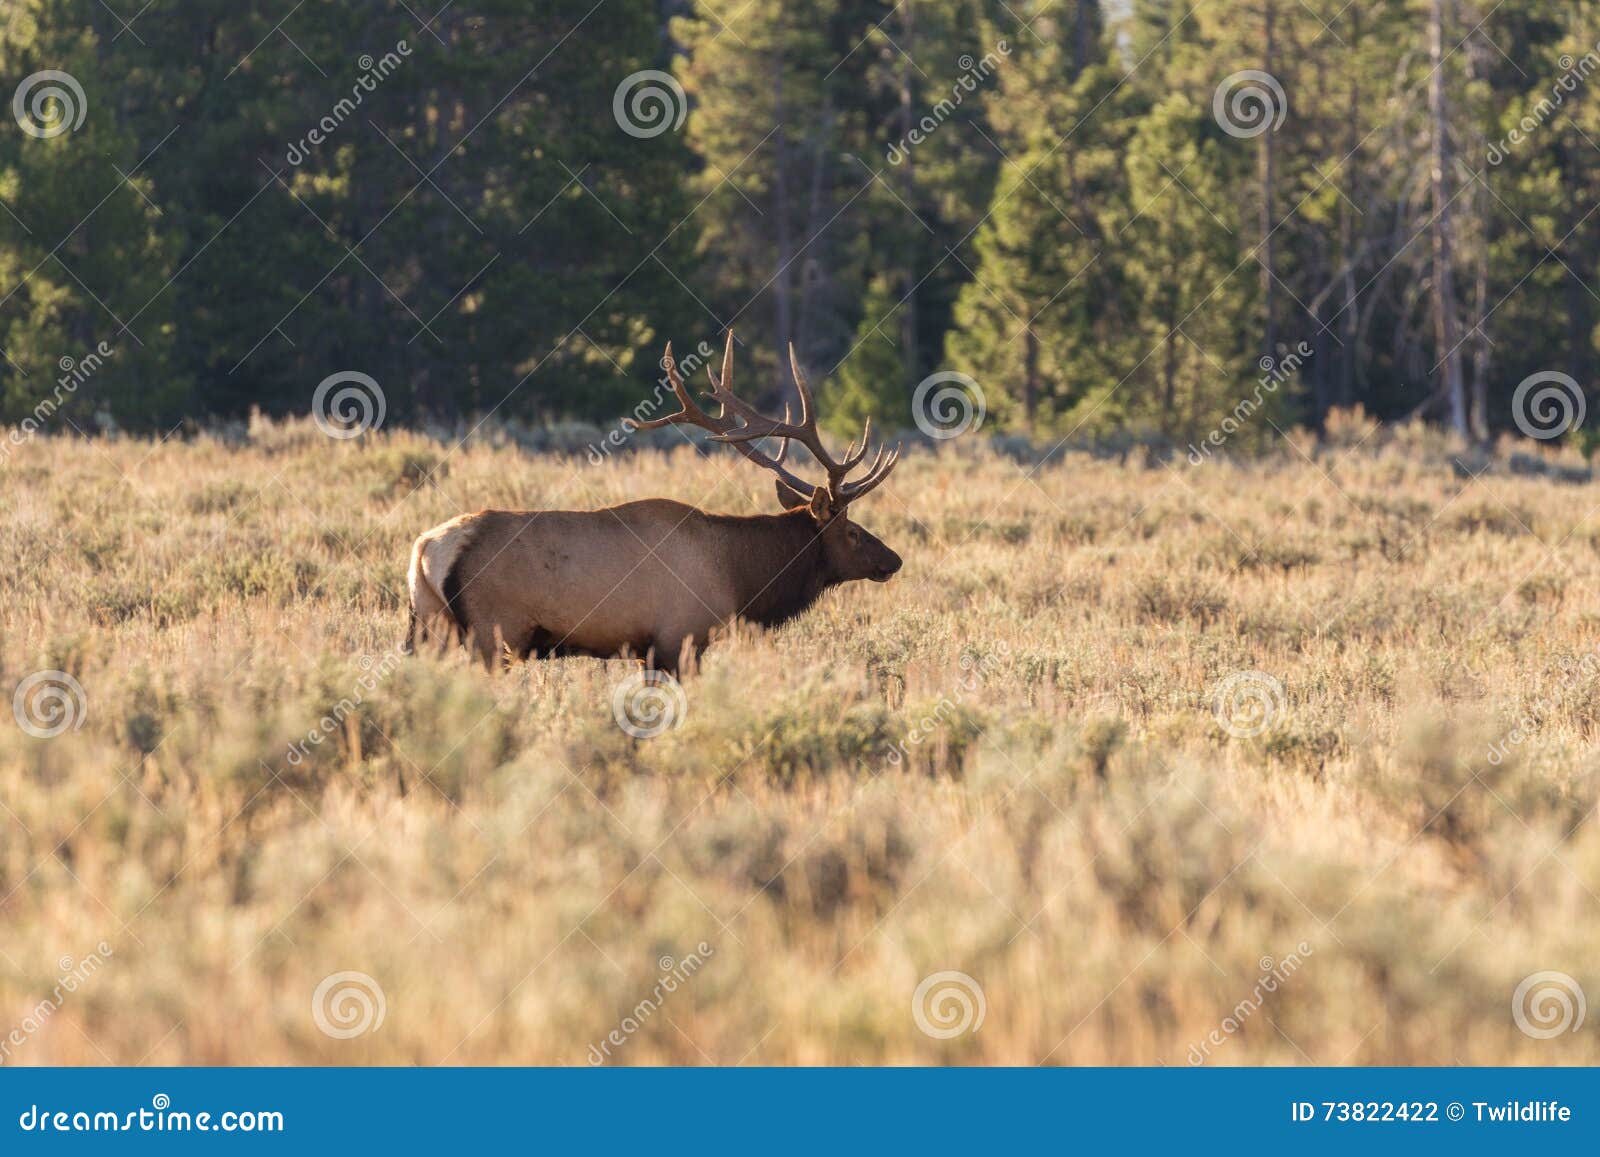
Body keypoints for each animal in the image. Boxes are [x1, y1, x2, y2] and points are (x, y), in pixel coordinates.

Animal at [403, 332, 902, 673]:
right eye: (853, 531)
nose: (894, 559)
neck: (737, 575)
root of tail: (426, 549)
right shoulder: (678, 638)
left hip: (428, 626)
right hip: (493, 633)